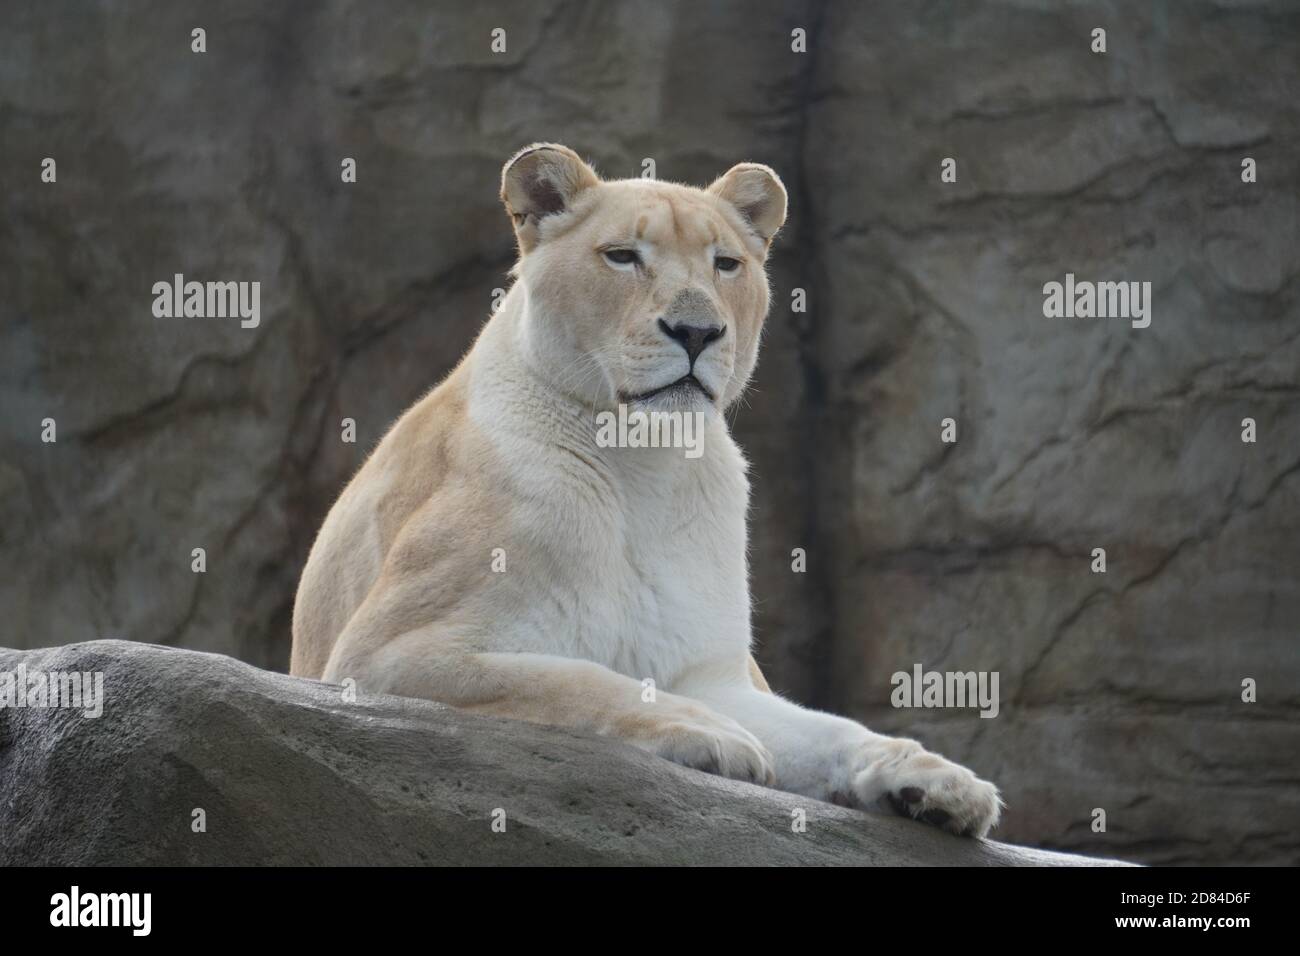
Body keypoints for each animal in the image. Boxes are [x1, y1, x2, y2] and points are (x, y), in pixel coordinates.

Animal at [290, 144, 1002, 838]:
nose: (697, 331)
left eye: (726, 264)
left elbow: (832, 731)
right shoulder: (379, 657)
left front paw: (941, 783)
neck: (644, 464)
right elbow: (576, 679)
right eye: (623, 256)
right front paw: (712, 735)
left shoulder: (713, 671)